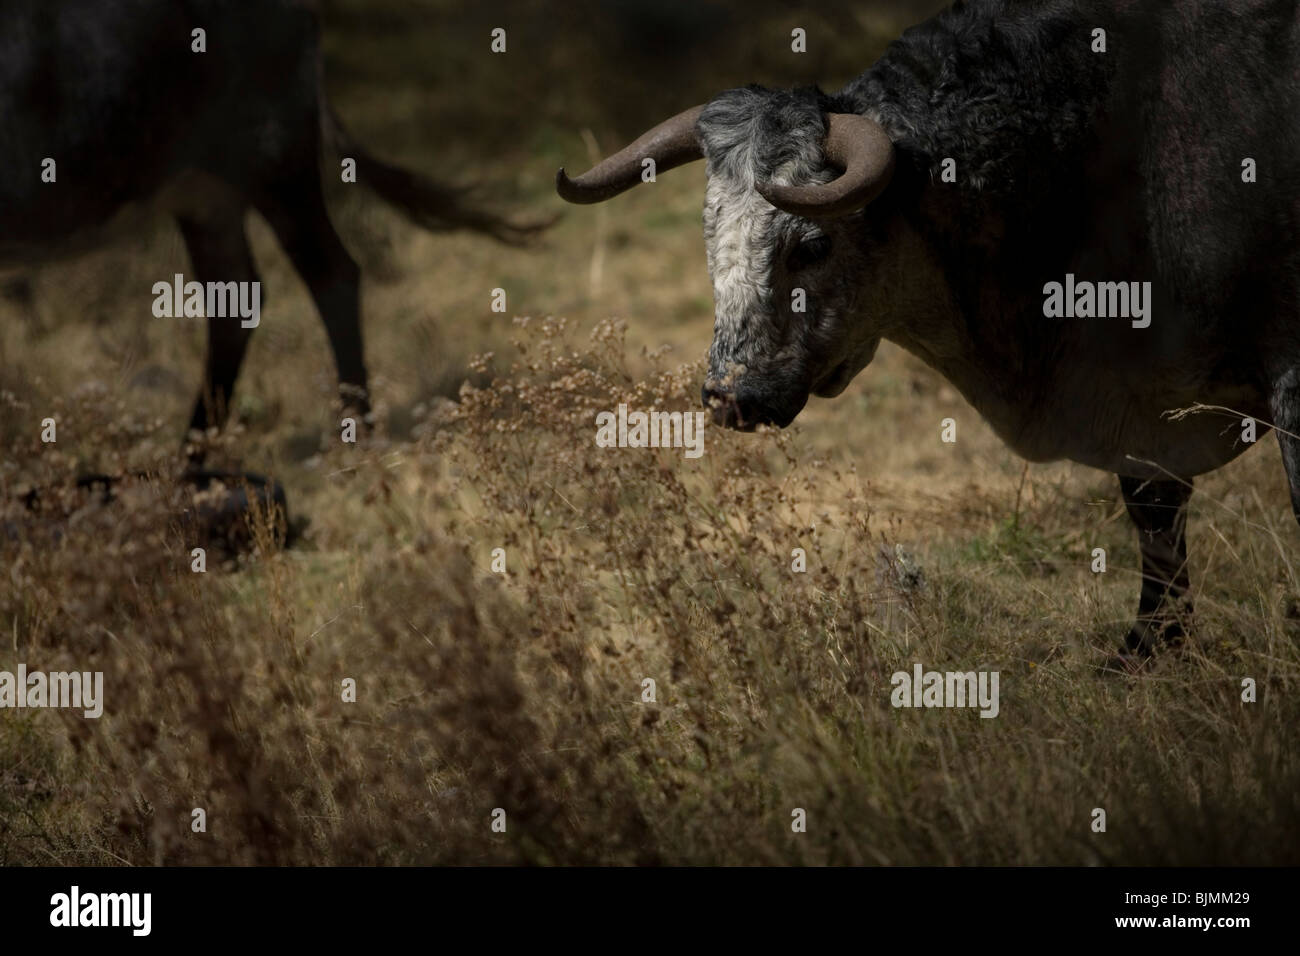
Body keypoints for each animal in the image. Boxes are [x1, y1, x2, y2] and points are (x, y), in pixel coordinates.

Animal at [1, 0, 543, 450]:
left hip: (272, 155)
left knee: (329, 272)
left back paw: (356, 440)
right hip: (203, 189)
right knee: (234, 292)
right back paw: (189, 465)